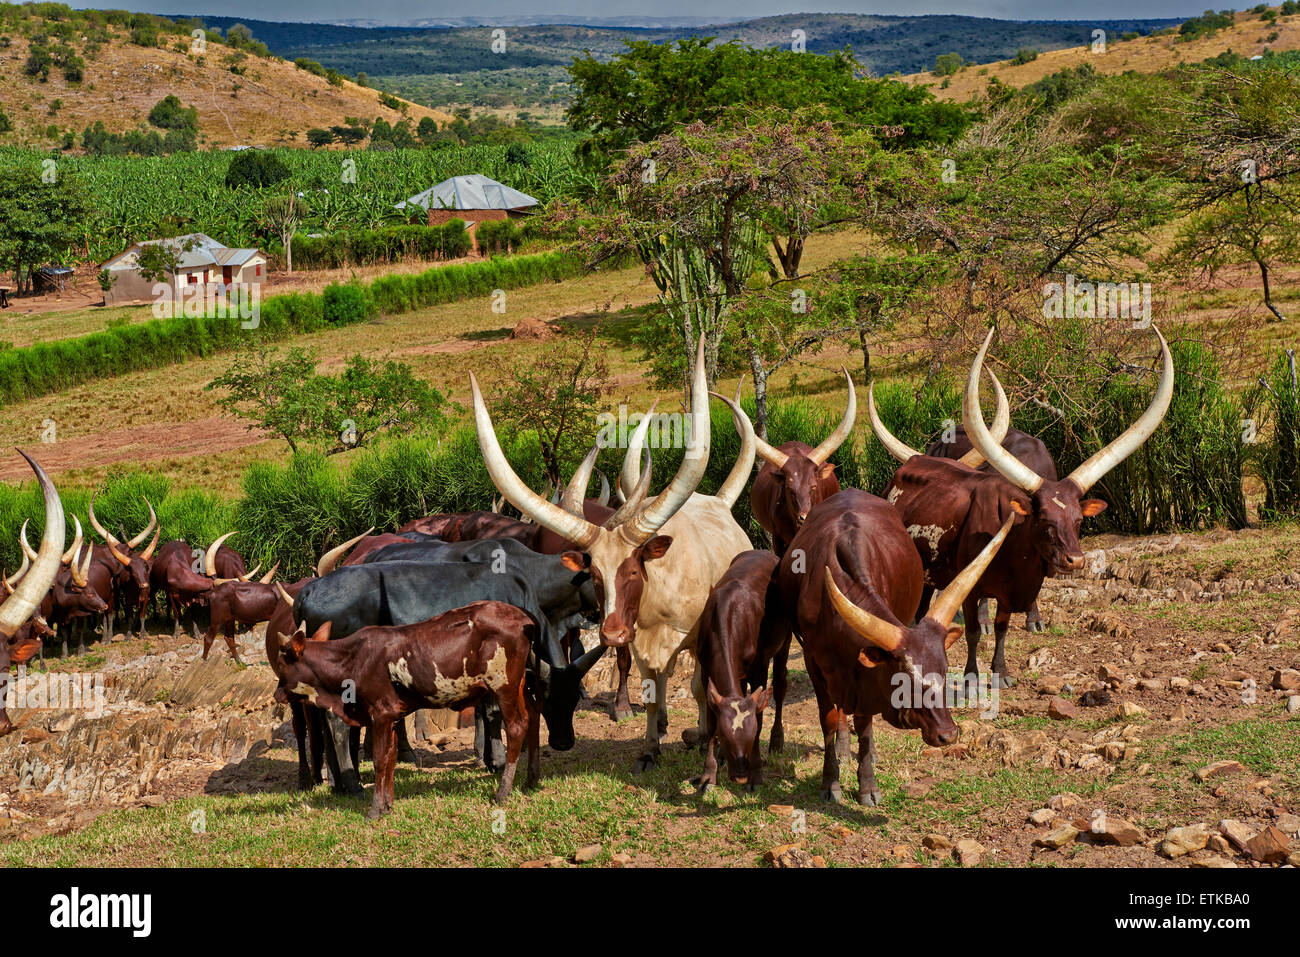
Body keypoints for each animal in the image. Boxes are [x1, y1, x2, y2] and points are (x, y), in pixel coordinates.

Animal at [276, 601, 540, 817]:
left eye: (282, 663)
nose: (277, 694)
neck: (352, 659)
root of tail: (523, 617)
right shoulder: (393, 716)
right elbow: (391, 758)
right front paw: (387, 805)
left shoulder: (380, 714)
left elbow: (380, 760)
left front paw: (375, 810)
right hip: (521, 683)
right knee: (534, 717)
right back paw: (531, 780)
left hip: (504, 685)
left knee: (517, 727)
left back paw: (503, 792)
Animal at [472, 339, 756, 772]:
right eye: (595, 576)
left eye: (635, 570)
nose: (612, 633)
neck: (658, 596)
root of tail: (719, 502)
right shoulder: (641, 646)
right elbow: (652, 691)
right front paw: (650, 748)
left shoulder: (700, 638)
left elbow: (697, 686)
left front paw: (707, 738)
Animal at [693, 550, 792, 793]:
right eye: (724, 736)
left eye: (750, 737)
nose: (740, 777)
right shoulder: (705, 669)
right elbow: (710, 721)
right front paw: (709, 773)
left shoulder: (760, 666)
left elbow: (760, 716)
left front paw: (756, 773)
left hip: (785, 641)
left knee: (780, 685)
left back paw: (777, 740)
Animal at [775, 489, 1019, 805]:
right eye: (903, 681)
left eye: (944, 673)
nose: (948, 734)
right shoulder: (813, 661)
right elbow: (827, 719)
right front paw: (831, 782)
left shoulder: (866, 675)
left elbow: (865, 723)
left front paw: (867, 784)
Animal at [876, 326, 1173, 687]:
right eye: (1043, 519)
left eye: (1078, 520)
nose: (1075, 560)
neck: (1015, 551)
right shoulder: (971, 589)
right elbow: (973, 631)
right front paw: (972, 677)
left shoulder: (1011, 591)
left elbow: (1003, 628)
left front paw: (1002, 671)